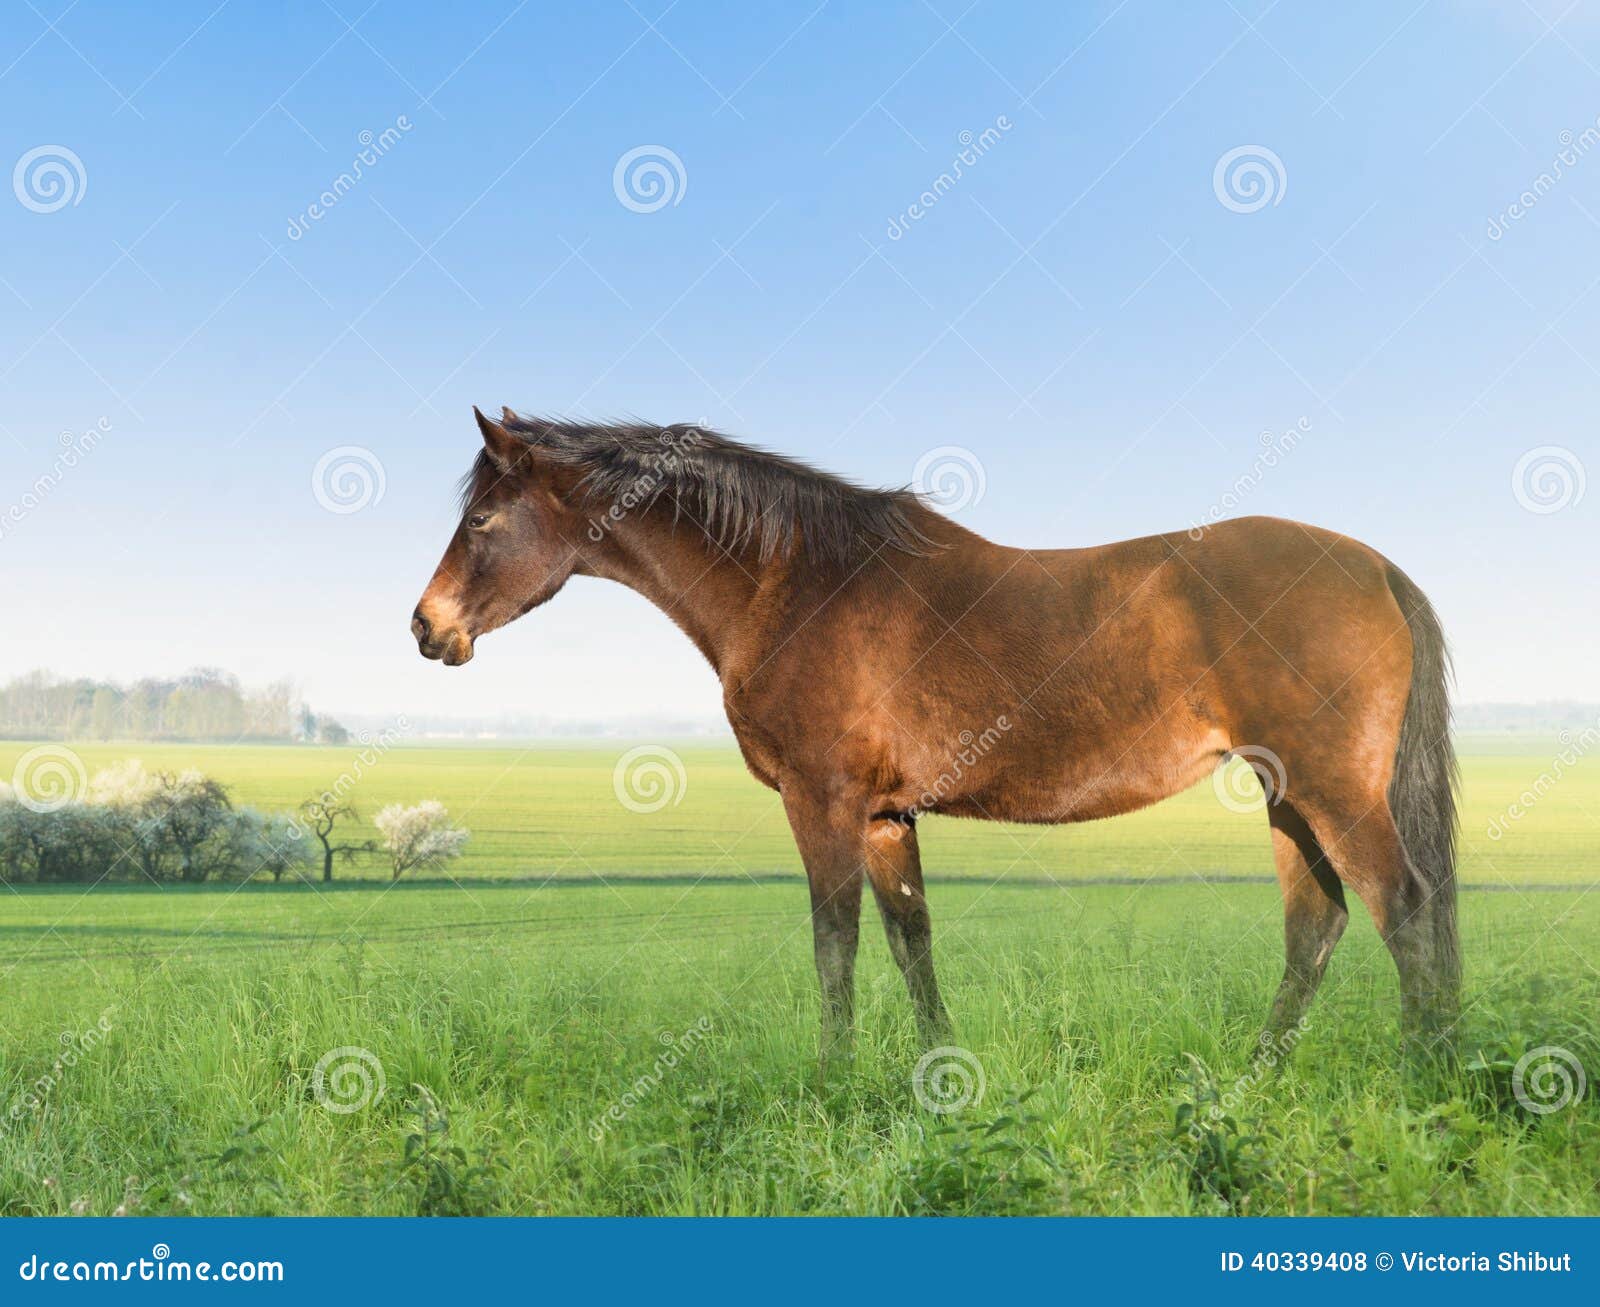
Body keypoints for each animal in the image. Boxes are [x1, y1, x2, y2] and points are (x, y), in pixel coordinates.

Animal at [413, 408, 1460, 1064]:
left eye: (483, 517)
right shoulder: (886, 815)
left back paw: (1422, 1074)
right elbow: (910, 937)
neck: (796, 580)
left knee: (1401, 904)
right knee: (1317, 922)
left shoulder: (823, 801)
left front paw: (833, 1079)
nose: (427, 627)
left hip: (1331, 788)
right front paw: (939, 1072)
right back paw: (1257, 1072)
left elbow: (835, 939)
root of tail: (1378, 569)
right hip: (1287, 794)